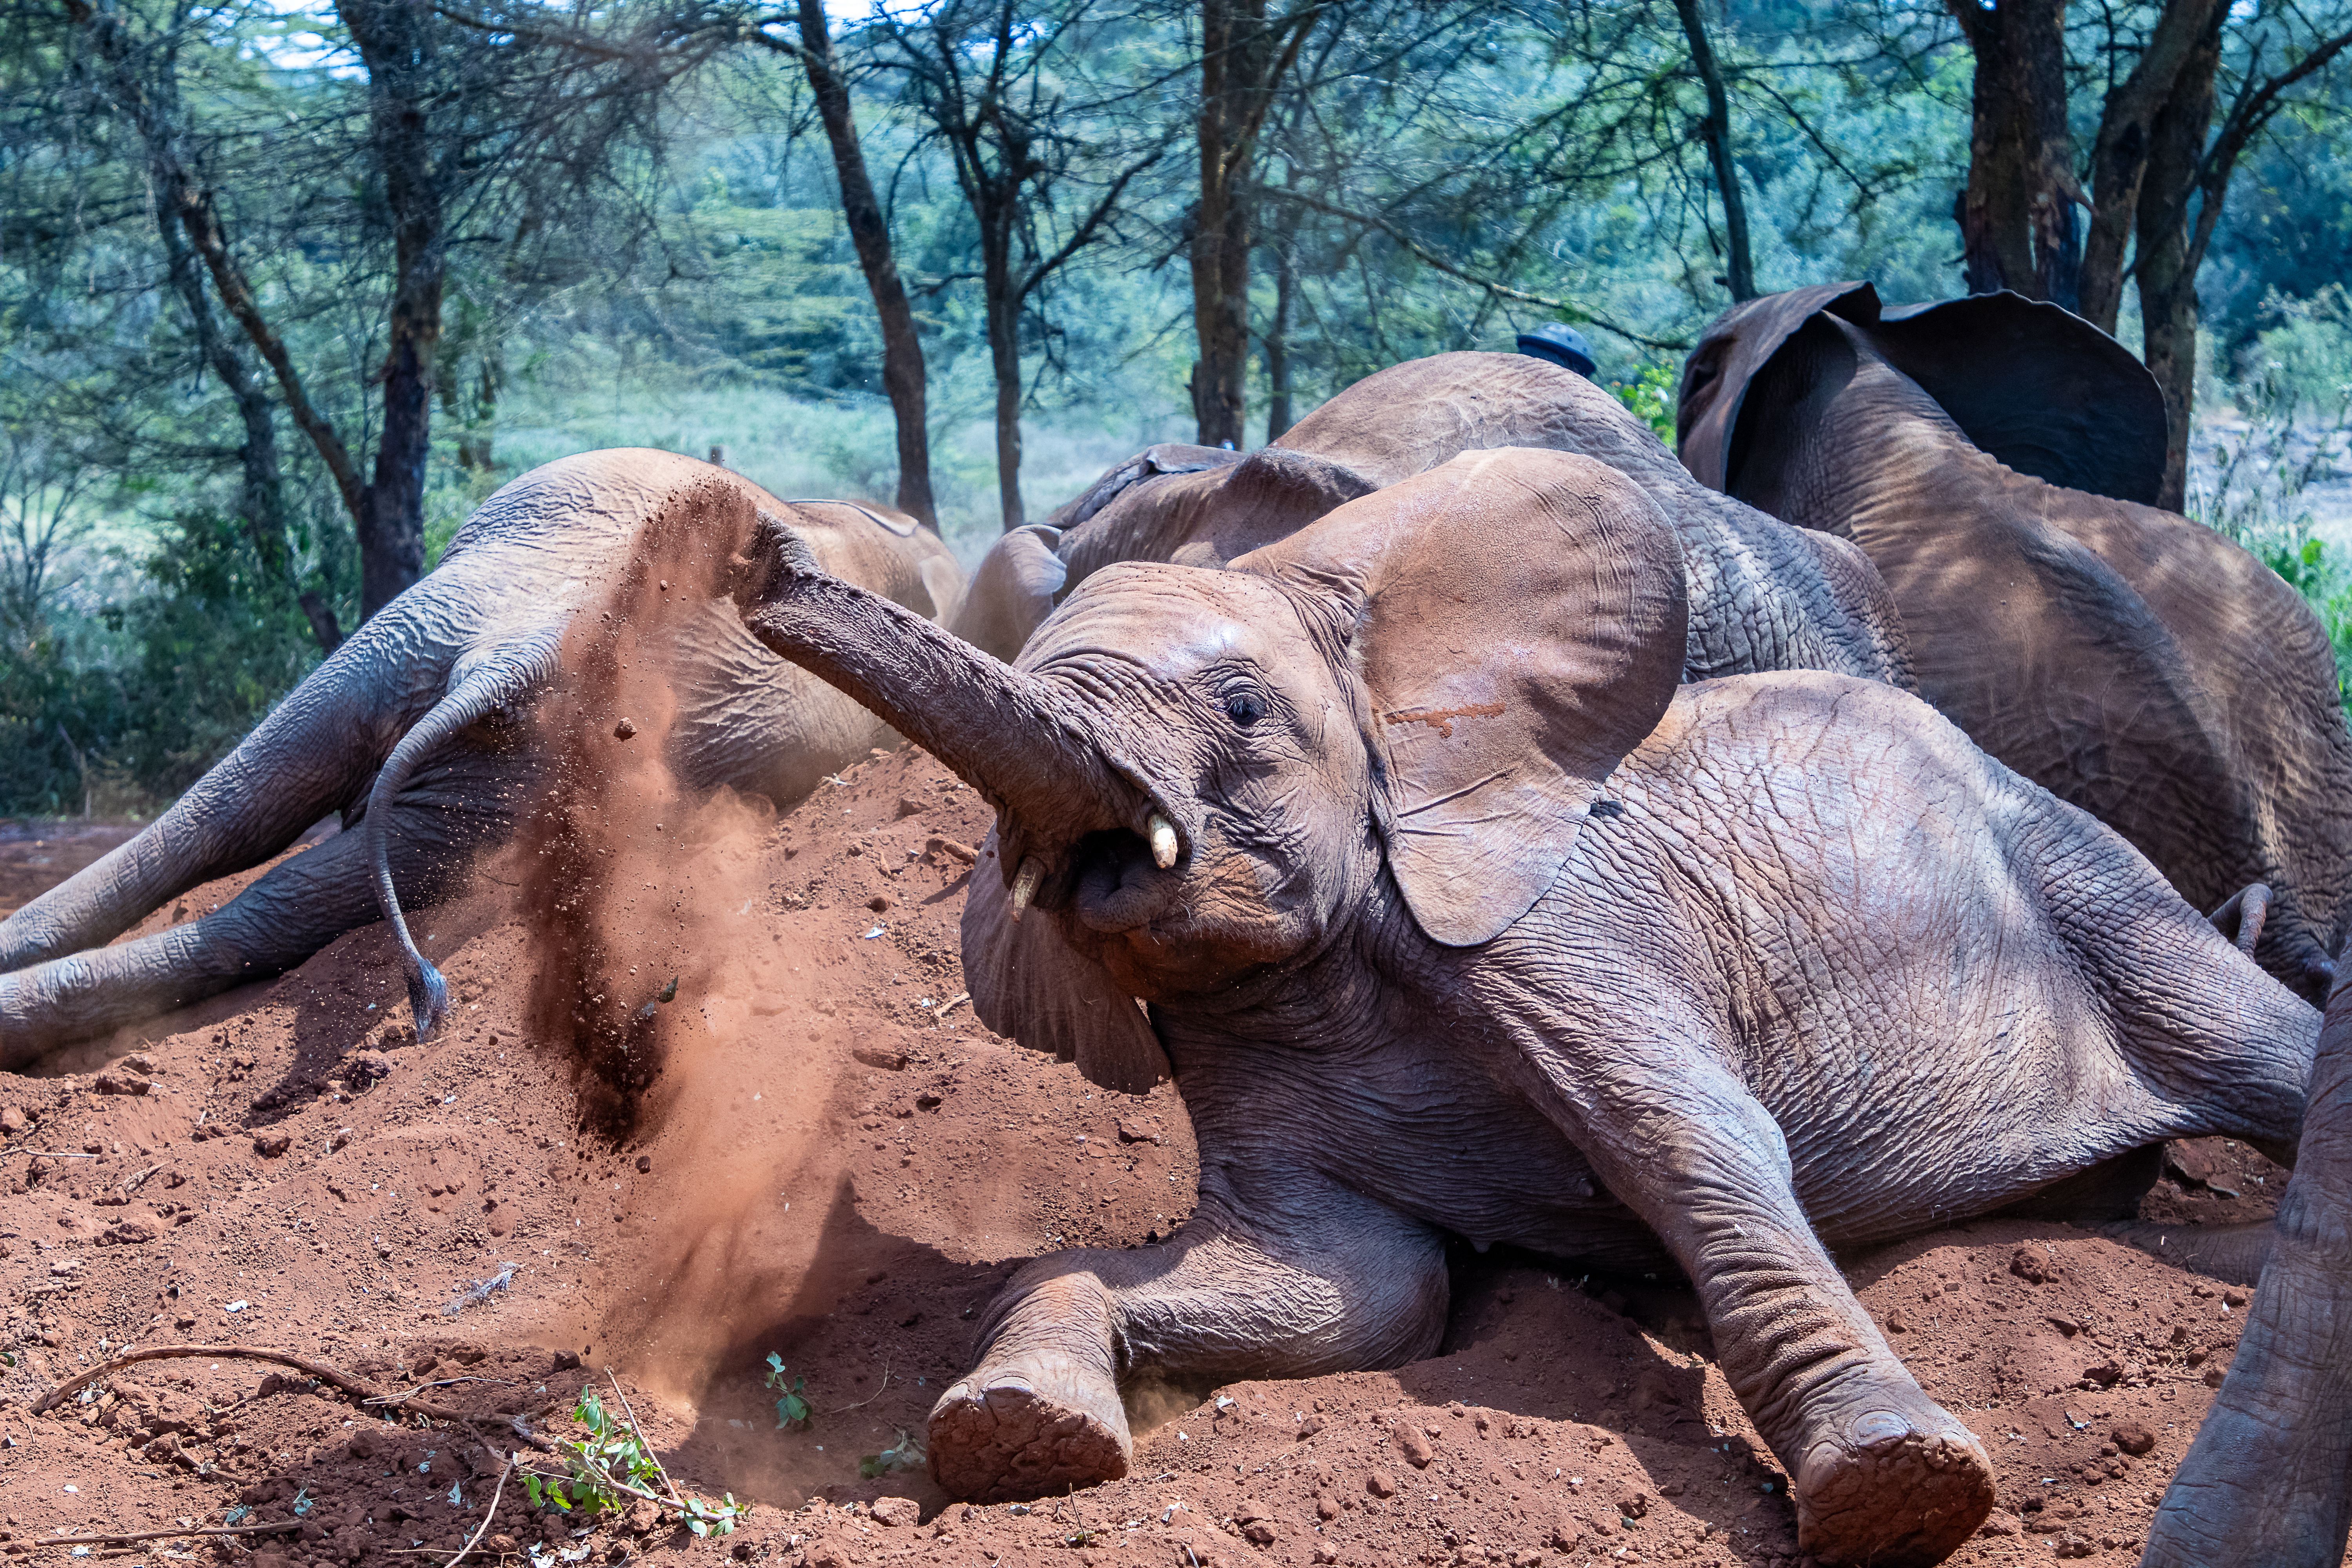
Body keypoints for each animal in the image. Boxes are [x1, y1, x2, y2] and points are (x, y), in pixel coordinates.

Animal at [731, 443, 2315, 1568]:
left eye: (1240, 712)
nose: (762, 554)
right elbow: (1362, 1282)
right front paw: (1016, 1435)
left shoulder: (1554, 935)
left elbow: (1697, 1147)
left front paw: (1896, 1495)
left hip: (2075, 867)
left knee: (2258, 1050)